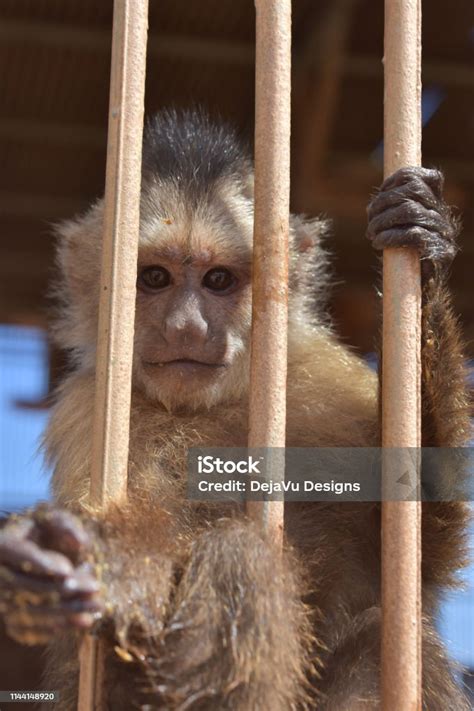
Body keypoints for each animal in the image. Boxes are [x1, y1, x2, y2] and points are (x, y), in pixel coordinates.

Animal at [0, 109, 471, 710]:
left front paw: (424, 240)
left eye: (218, 279)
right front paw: (86, 559)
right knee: (239, 553)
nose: (186, 328)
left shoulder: (324, 378)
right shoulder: (85, 410)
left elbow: (423, 543)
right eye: (154, 277)